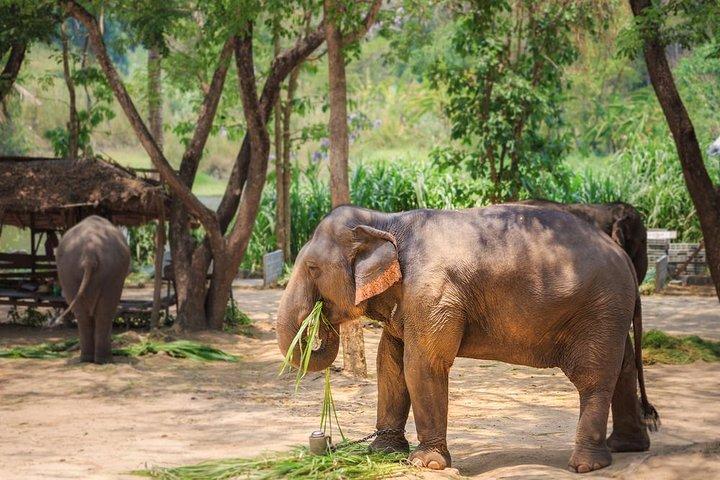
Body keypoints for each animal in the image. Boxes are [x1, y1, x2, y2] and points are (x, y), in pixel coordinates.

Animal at [55, 215, 130, 364]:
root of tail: (89, 253)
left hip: (70, 270)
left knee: (83, 314)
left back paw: (89, 359)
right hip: (110, 271)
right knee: (104, 311)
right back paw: (104, 360)